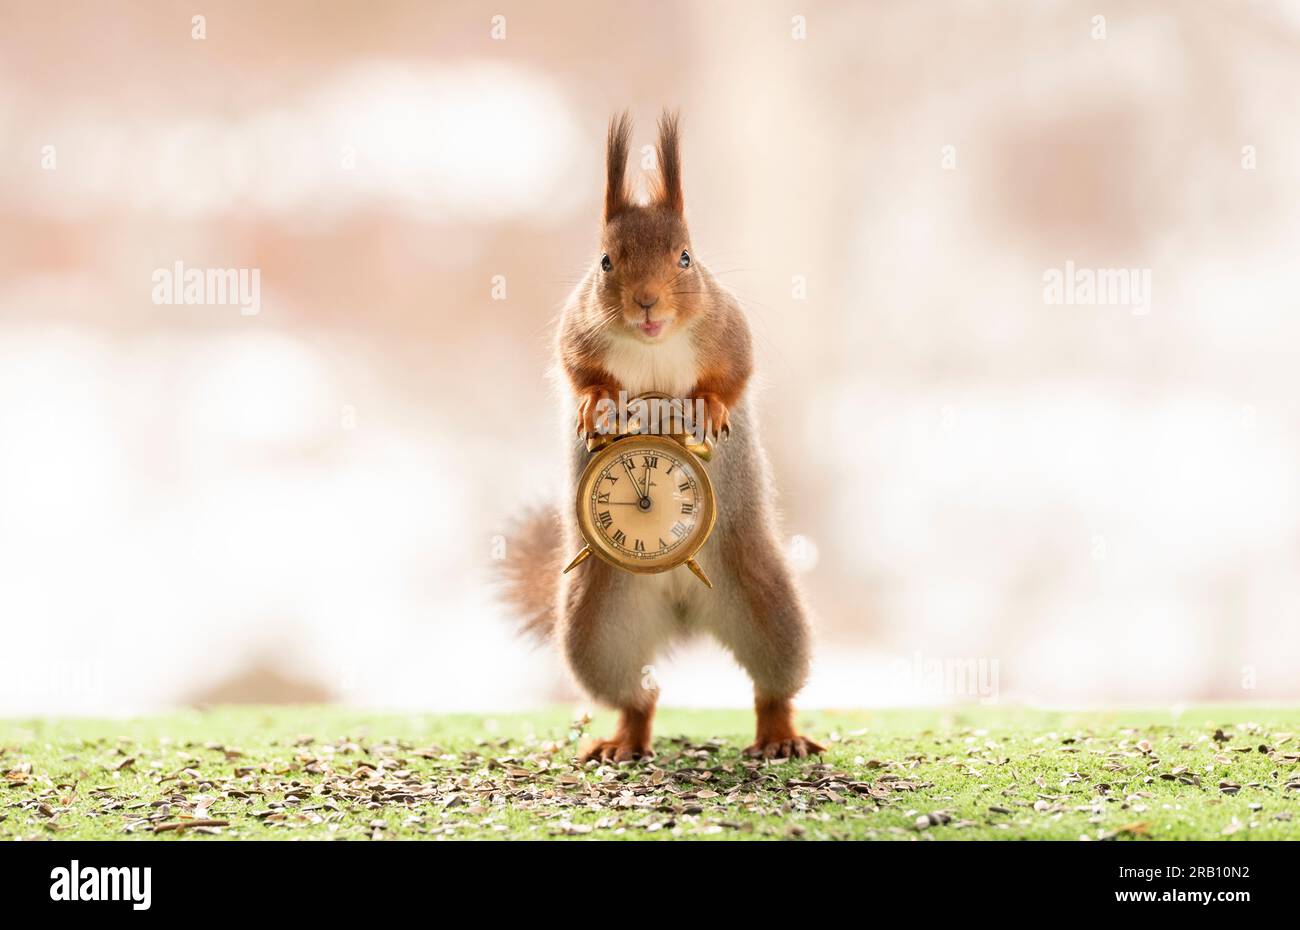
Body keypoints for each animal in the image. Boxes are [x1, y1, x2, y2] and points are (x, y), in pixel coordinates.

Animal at [502, 111, 822, 763]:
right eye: (605, 261)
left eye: (685, 258)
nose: (646, 302)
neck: (652, 342)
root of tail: (682, 605)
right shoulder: (576, 332)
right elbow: (580, 372)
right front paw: (594, 405)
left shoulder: (730, 328)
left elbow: (734, 374)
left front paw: (710, 406)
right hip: (596, 632)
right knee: (638, 694)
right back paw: (622, 740)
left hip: (769, 607)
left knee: (773, 684)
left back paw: (779, 735)